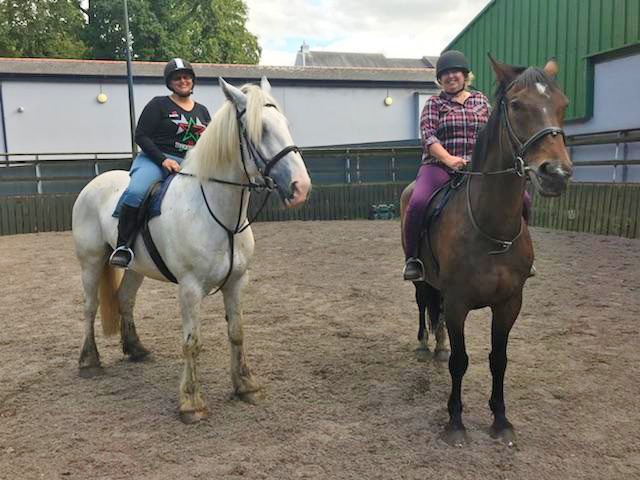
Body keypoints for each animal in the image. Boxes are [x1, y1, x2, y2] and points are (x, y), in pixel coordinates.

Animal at [72, 77, 311, 423]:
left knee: (124, 299)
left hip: (135, 268)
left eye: (285, 124)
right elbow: (191, 343)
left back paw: (135, 349)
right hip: (90, 262)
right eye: (261, 130)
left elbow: (237, 332)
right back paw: (89, 361)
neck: (218, 214)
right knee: (90, 307)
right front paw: (191, 402)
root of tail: (95, 183)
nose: (300, 187)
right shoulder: (190, 288)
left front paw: (246, 386)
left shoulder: (236, 282)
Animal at [400, 56, 572, 446]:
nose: (555, 174)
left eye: (563, 105)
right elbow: (461, 362)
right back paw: (423, 344)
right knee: (422, 303)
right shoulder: (458, 302)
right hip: (421, 281)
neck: (490, 229)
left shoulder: (509, 303)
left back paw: (439, 344)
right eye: (517, 105)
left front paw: (501, 419)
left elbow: (499, 359)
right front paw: (455, 422)